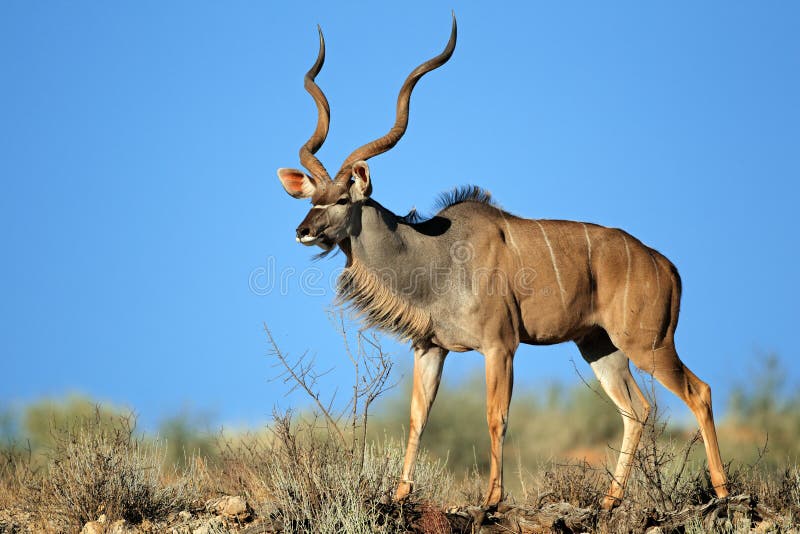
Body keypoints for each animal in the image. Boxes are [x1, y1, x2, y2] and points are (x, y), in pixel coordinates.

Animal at [276, 16, 729, 509]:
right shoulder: (429, 348)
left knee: (698, 391)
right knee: (637, 409)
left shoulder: (501, 345)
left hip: (648, 343)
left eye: (342, 199)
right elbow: (418, 418)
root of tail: (666, 265)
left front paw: (492, 499)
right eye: (312, 198)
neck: (436, 255)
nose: (302, 230)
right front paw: (399, 495)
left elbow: (496, 416)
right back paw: (610, 501)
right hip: (600, 347)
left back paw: (723, 491)